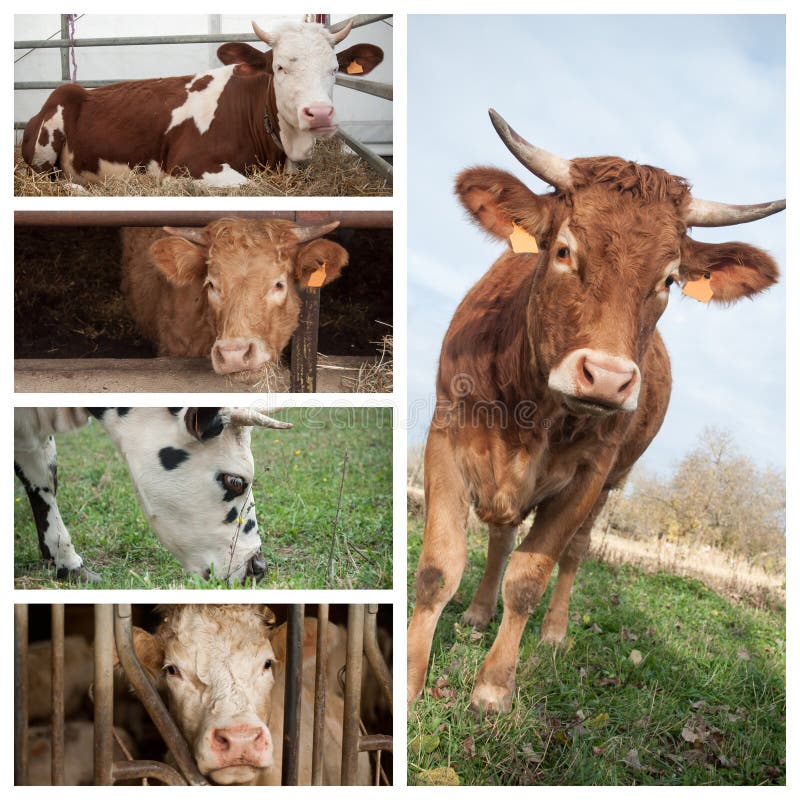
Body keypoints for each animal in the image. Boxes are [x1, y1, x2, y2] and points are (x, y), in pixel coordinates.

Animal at [20, 20, 384, 188]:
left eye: (334, 69)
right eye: (280, 67)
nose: (319, 113)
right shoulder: (187, 163)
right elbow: (247, 184)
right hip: (46, 140)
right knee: (51, 179)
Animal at [406, 109, 785, 714]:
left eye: (669, 279)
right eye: (563, 250)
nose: (606, 378)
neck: (530, 412)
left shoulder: (590, 473)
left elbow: (531, 574)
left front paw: (494, 686)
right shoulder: (445, 436)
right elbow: (440, 569)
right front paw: (411, 679)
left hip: (613, 482)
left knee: (574, 553)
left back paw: (555, 633)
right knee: (500, 538)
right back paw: (477, 614)